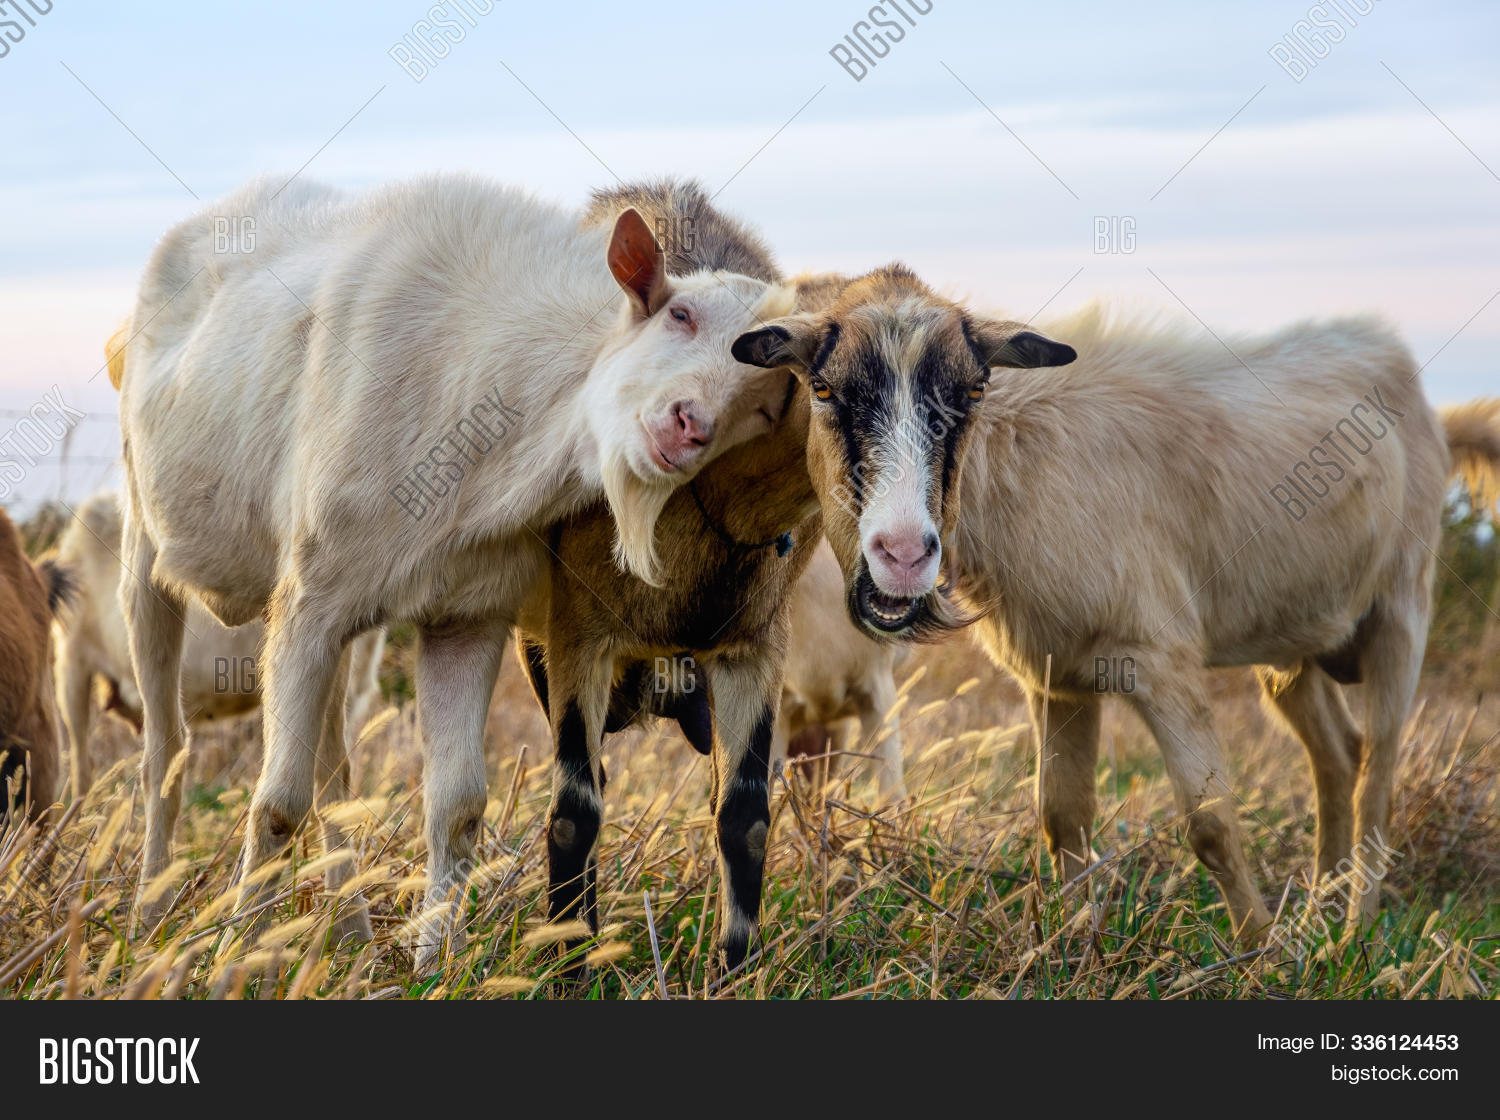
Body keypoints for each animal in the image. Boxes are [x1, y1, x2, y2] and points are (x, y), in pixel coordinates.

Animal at [111, 173, 794, 948]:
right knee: (164, 753)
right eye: (679, 314)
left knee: (333, 768)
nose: (688, 426)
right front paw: (232, 953)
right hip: (144, 550)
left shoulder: (464, 616)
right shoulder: (309, 607)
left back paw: (351, 931)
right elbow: (276, 805)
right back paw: (149, 914)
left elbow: (457, 806)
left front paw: (435, 958)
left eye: (766, 404)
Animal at [736, 280, 1500, 943]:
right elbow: (1063, 817)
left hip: (1401, 608)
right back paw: (1321, 911)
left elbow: (1211, 822)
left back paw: (1352, 932)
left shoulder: (1159, 661)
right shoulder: (1058, 676)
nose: (902, 553)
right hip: (1294, 642)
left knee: (1379, 767)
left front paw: (1260, 955)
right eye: (824, 390)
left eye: (973, 390)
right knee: (1337, 756)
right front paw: (1079, 940)